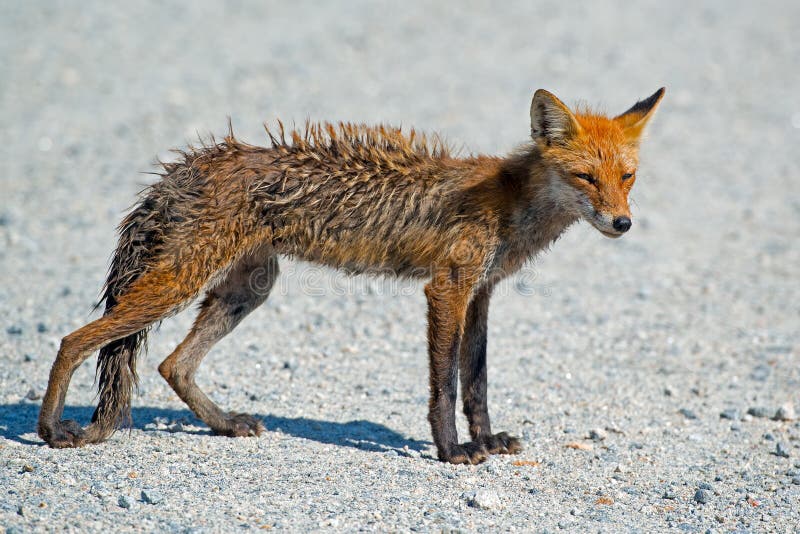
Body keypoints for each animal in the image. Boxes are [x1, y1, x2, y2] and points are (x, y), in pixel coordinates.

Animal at [37, 87, 664, 464]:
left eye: (627, 177)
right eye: (586, 178)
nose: (623, 223)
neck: (510, 203)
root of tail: (193, 162)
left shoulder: (482, 293)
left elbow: (478, 382)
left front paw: (486, 439)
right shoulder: (448, 288)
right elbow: (446, 384)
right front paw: (451, 451)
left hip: (247, 290)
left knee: (173, 364)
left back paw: (224, 424)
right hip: (178, 283)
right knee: (74, 340)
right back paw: (50, 430)